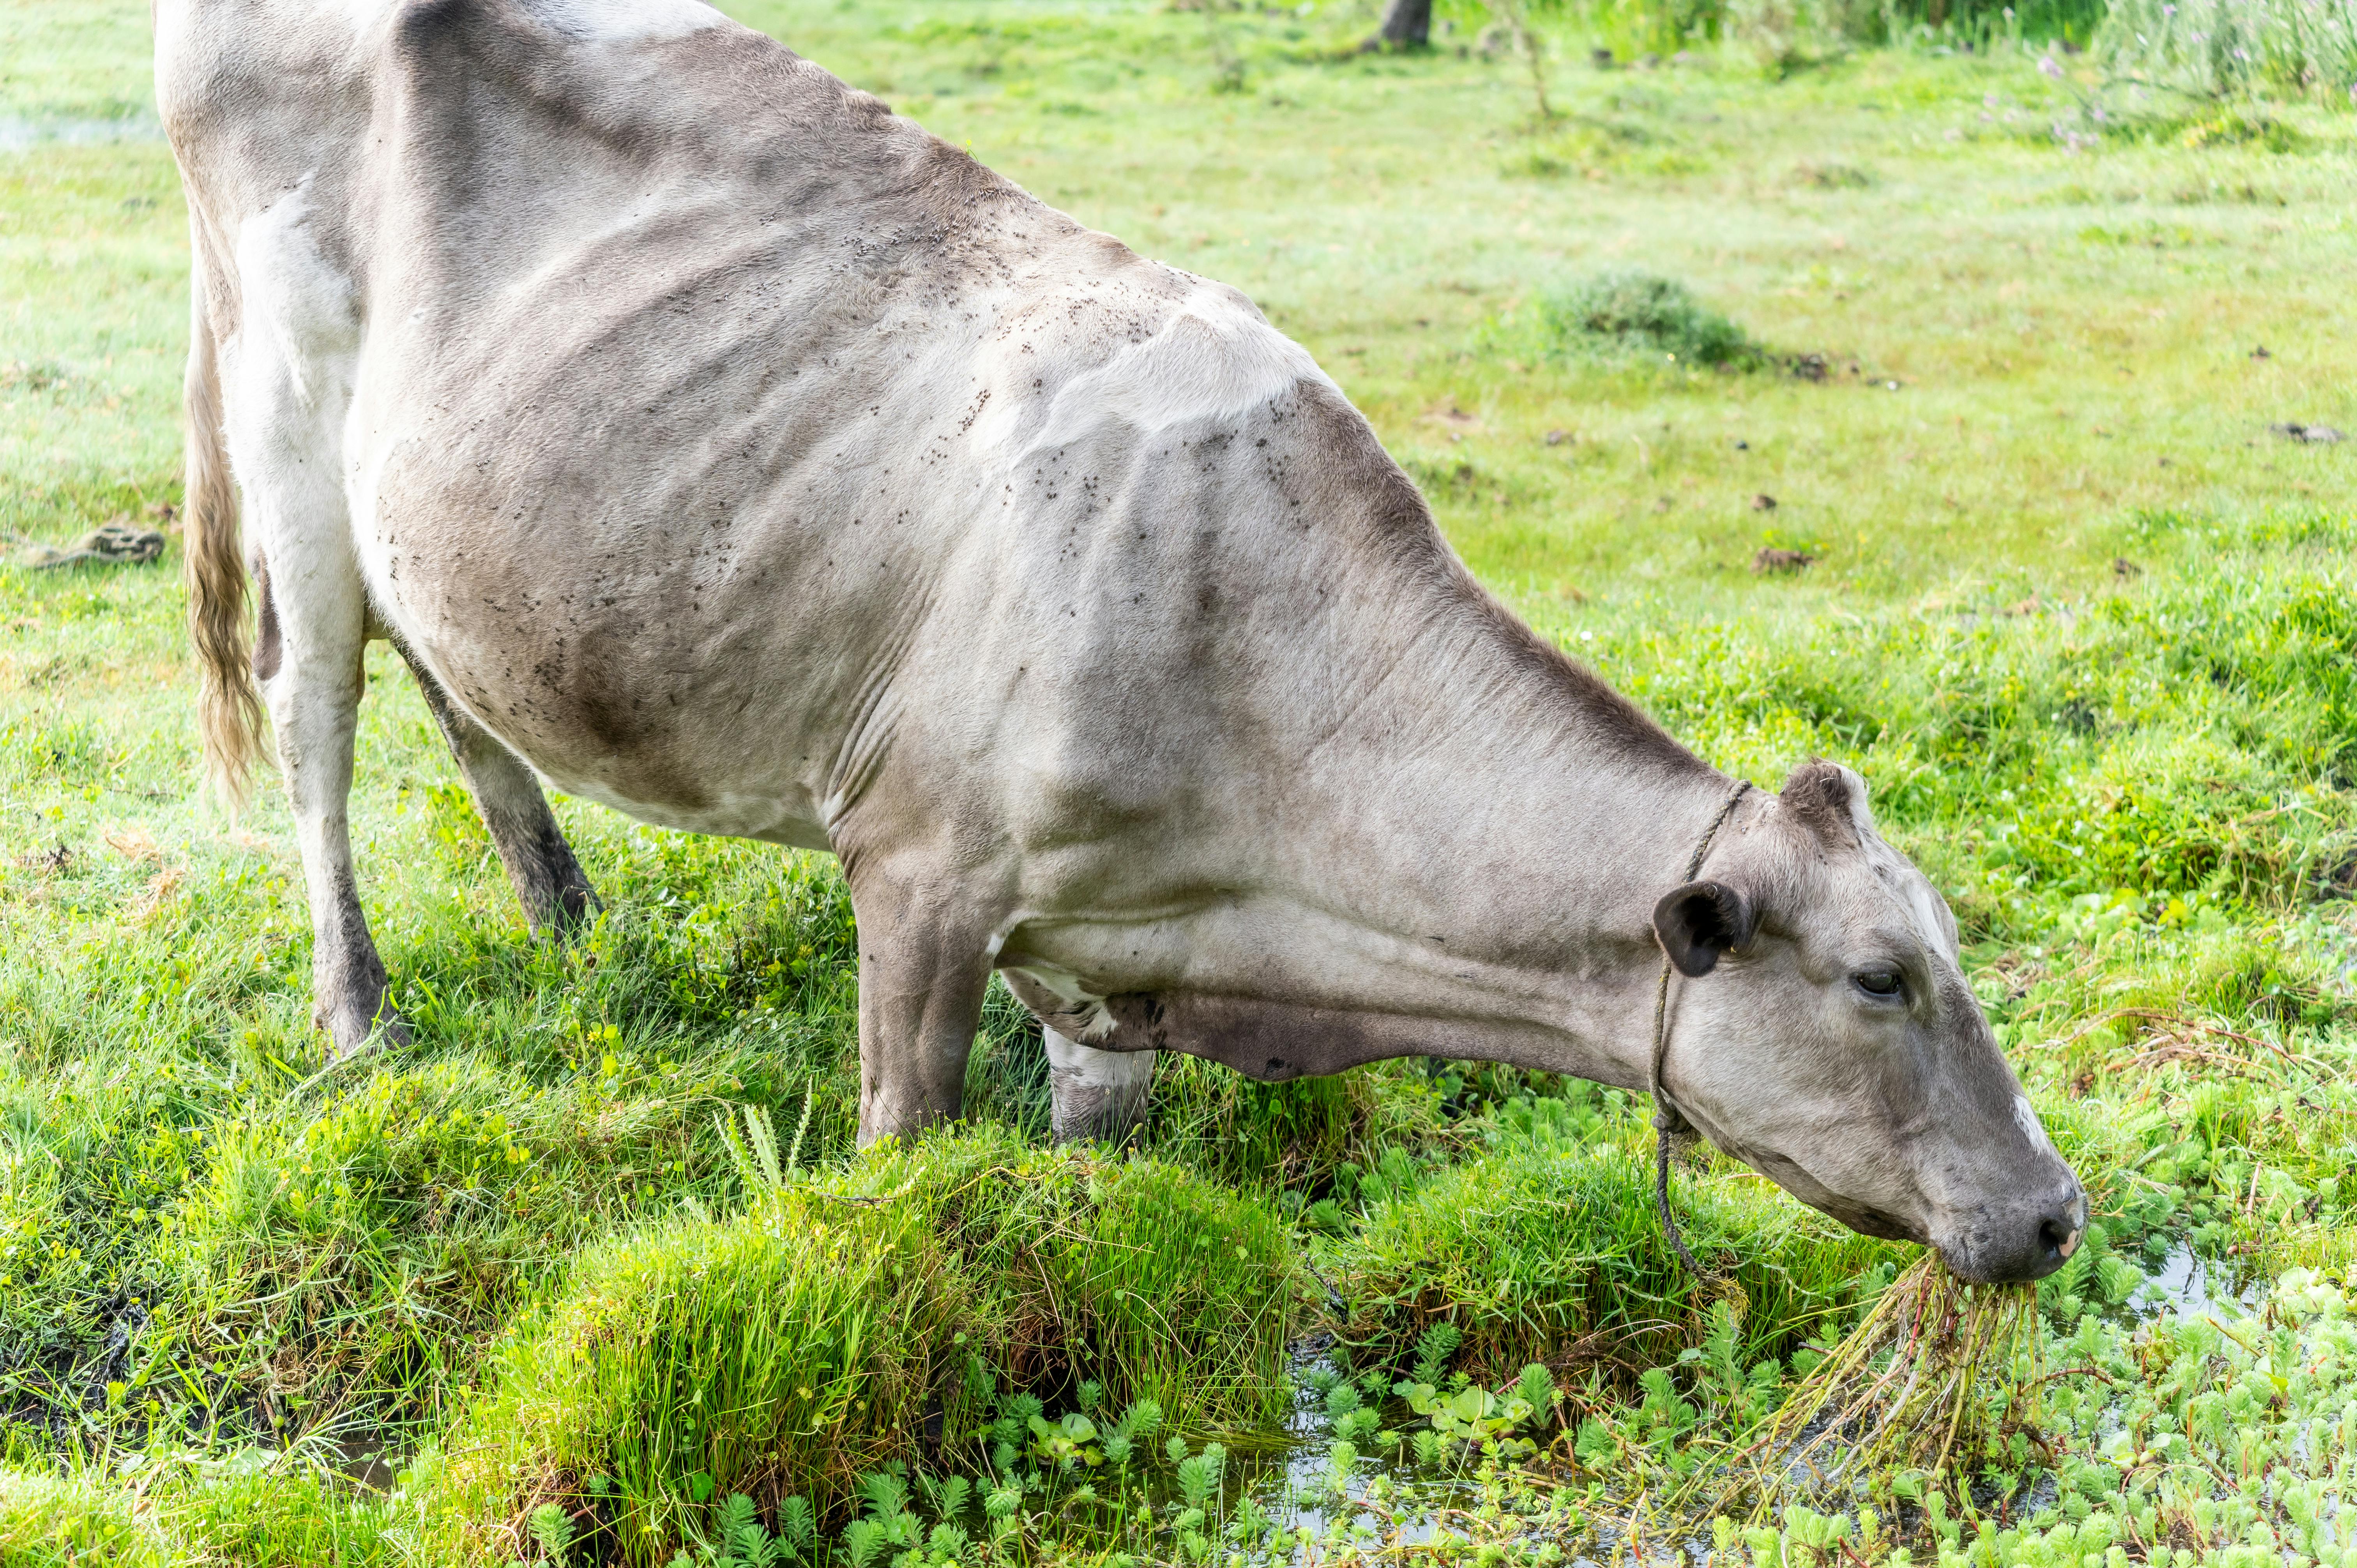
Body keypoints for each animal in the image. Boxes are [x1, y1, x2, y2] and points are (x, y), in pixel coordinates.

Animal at [156, 0, 2084, 1283]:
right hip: (282, 416)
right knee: (320, 710)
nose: (2055, 1209)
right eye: (1880, 978)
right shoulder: (920, 874)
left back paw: (563, 909)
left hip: (446, 498)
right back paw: (359, 1015)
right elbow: (900, 1142)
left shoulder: (1099, 951)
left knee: (456, 672)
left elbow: (1100, 1170)